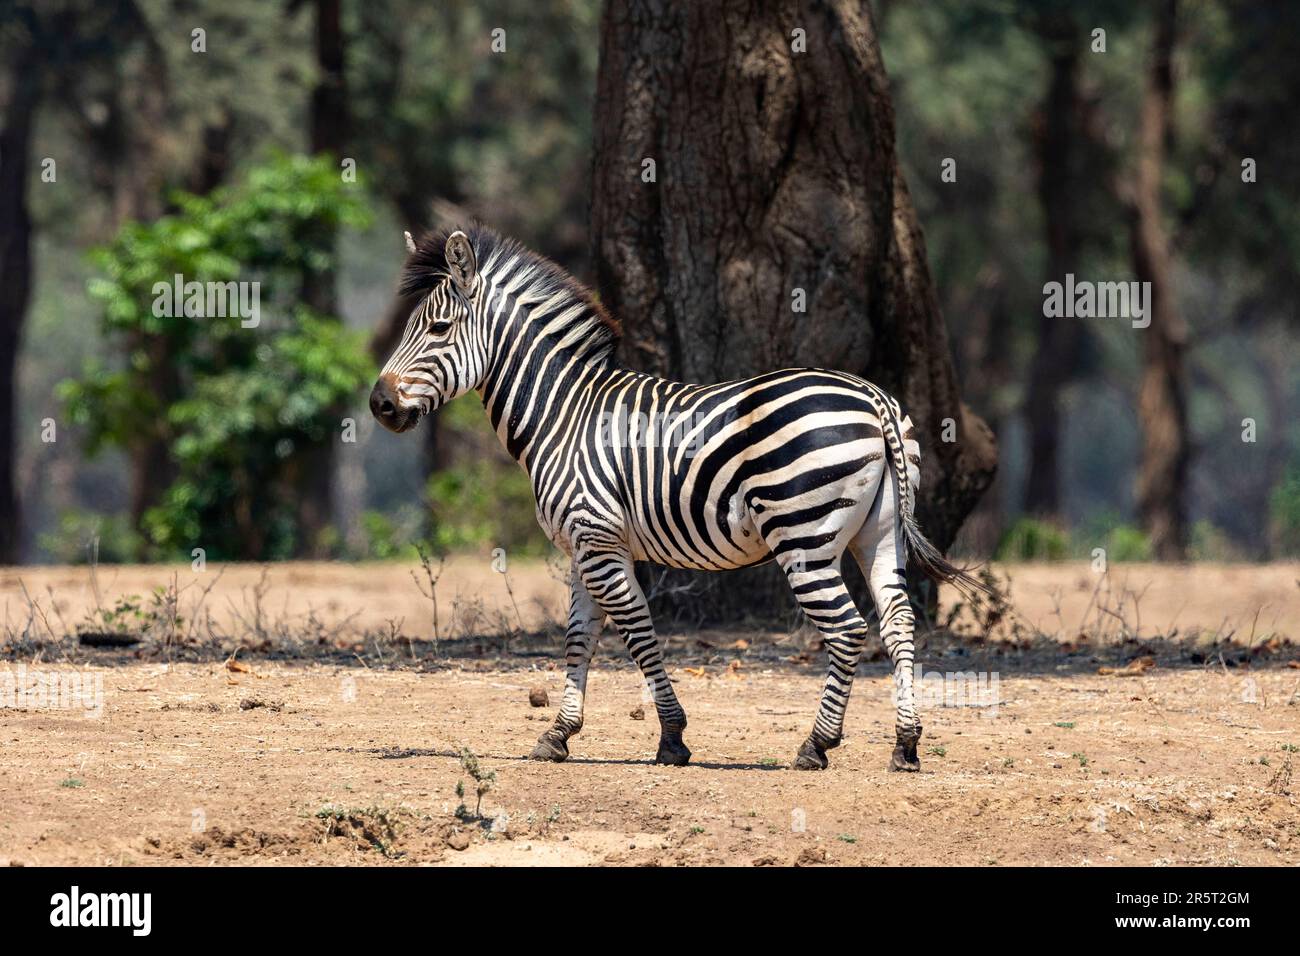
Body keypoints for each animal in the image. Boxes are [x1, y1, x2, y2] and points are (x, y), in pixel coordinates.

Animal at [371, 225, 984, 772]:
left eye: (438, 328)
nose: (379, 405)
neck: (563, 415)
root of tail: (872, 395)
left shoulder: (598, 539)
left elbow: (637, 633)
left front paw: (671, 737)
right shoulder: (585, 545)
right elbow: (579, 637)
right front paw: (559, 735)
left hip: (803, 536)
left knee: (848, 628)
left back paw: (816, 745)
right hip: (878, 531)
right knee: (898, 621)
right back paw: (906, 745)